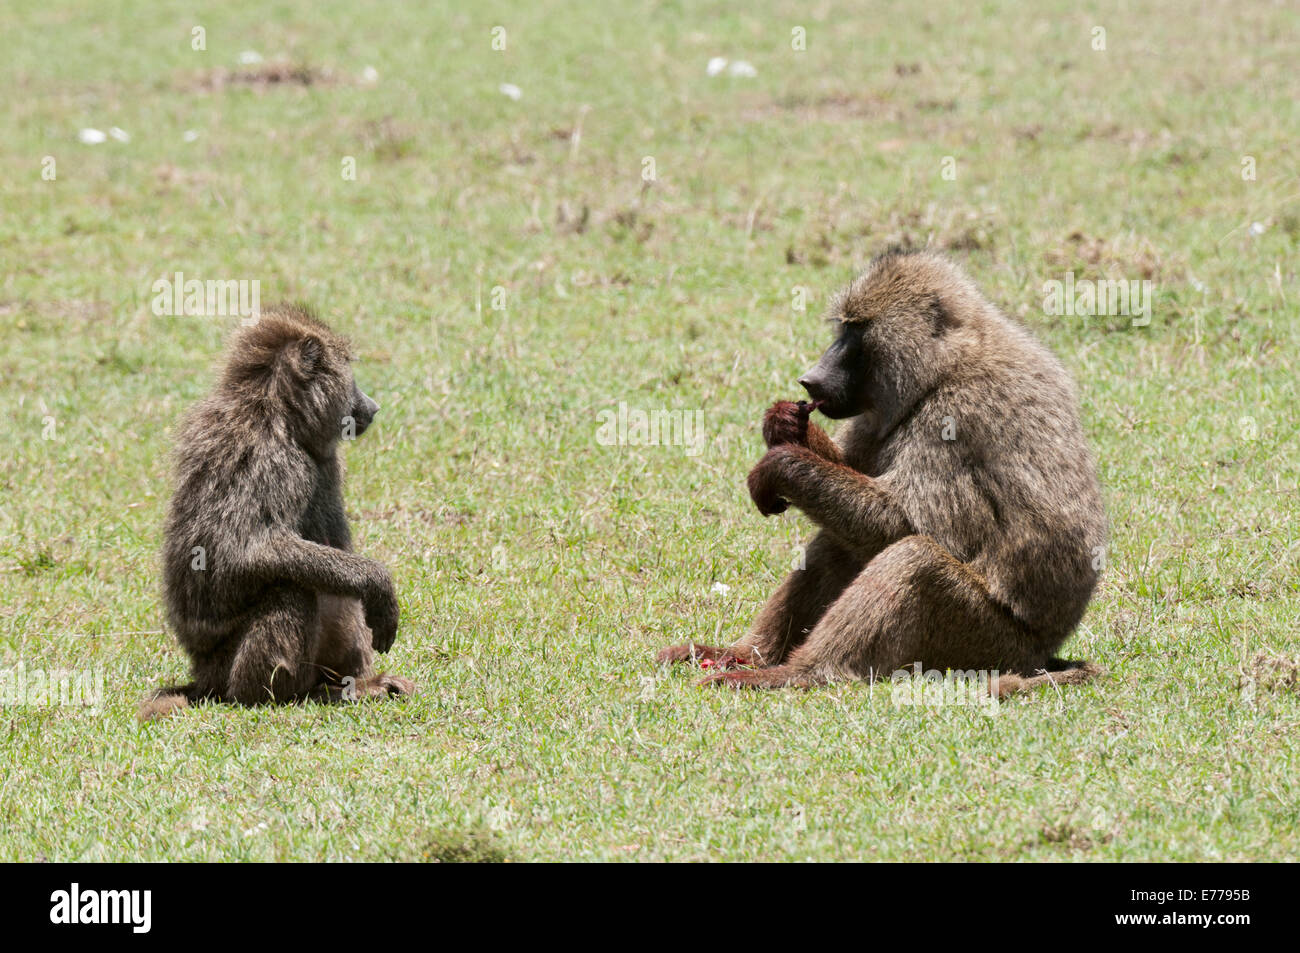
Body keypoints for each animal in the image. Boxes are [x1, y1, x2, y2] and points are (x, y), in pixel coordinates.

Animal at [139, 305, 413, 720]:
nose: (373, 407)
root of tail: (202, 676)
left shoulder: (323, 464)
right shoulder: (274, 460)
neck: (277, 408)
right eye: (349, 371)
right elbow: (245, 550)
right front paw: (378, 584)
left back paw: (351, 686)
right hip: (229, 667)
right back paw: (298, 695)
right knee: (291, 588)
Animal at [658, 249, 1106, 696]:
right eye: (843, 326)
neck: (948, 364)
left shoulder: (956, 417)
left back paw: (795, 673)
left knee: (913, 558)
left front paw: (779, 465)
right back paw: (743, 656)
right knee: (838, 539)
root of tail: (1039, 656)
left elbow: (903, 522)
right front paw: (784, 426)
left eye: (856, 331)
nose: (810, 380)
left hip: (984, 639)